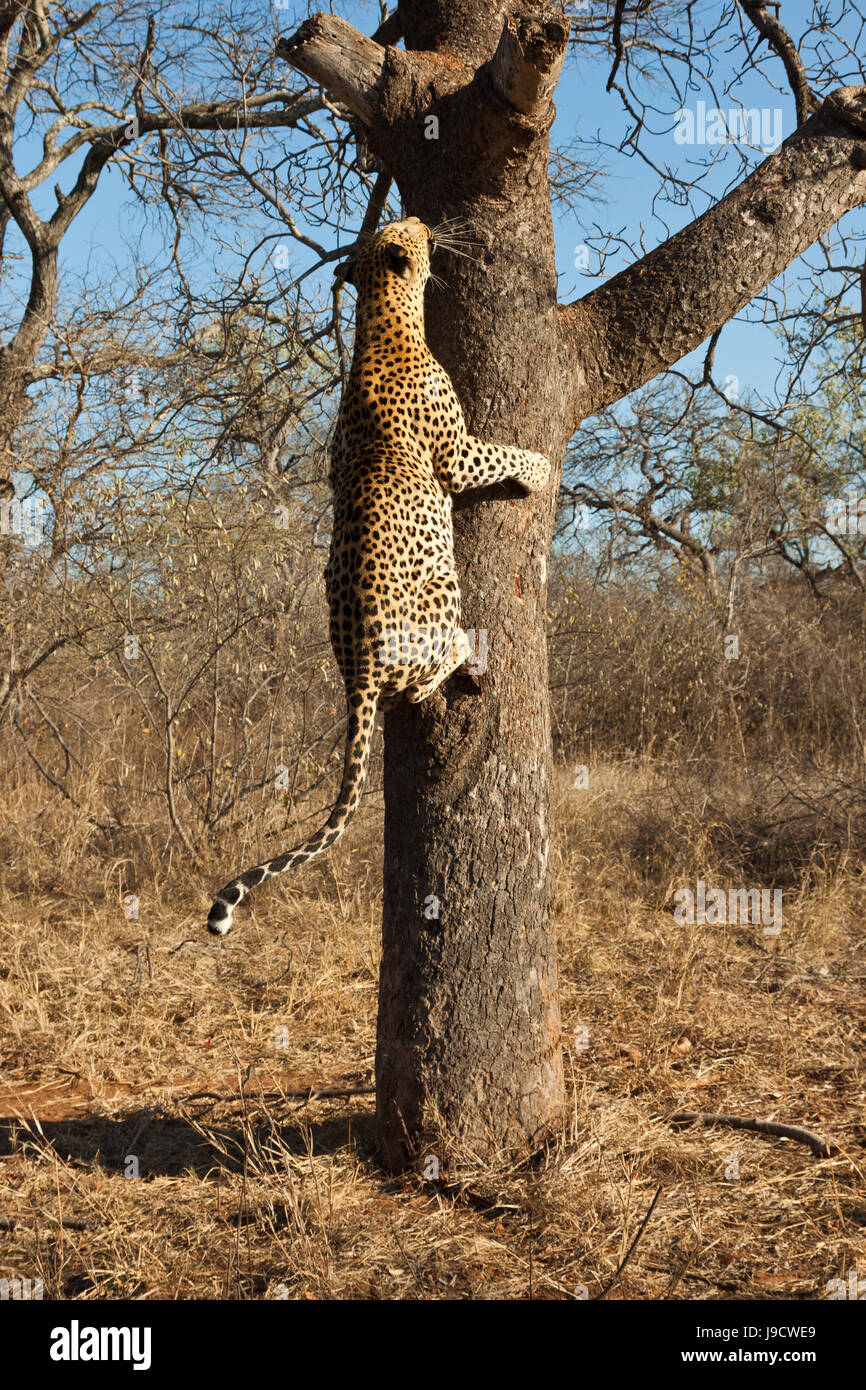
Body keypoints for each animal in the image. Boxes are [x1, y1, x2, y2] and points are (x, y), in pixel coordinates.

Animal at [206, 215, 550, 935]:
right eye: (409, 227)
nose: (424, 219)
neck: (381, 317)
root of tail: (358, 673)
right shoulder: (458, 453)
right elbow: (500, 454)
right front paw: (537, 468)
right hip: (441, 586)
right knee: (424, 681)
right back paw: (468, 652)